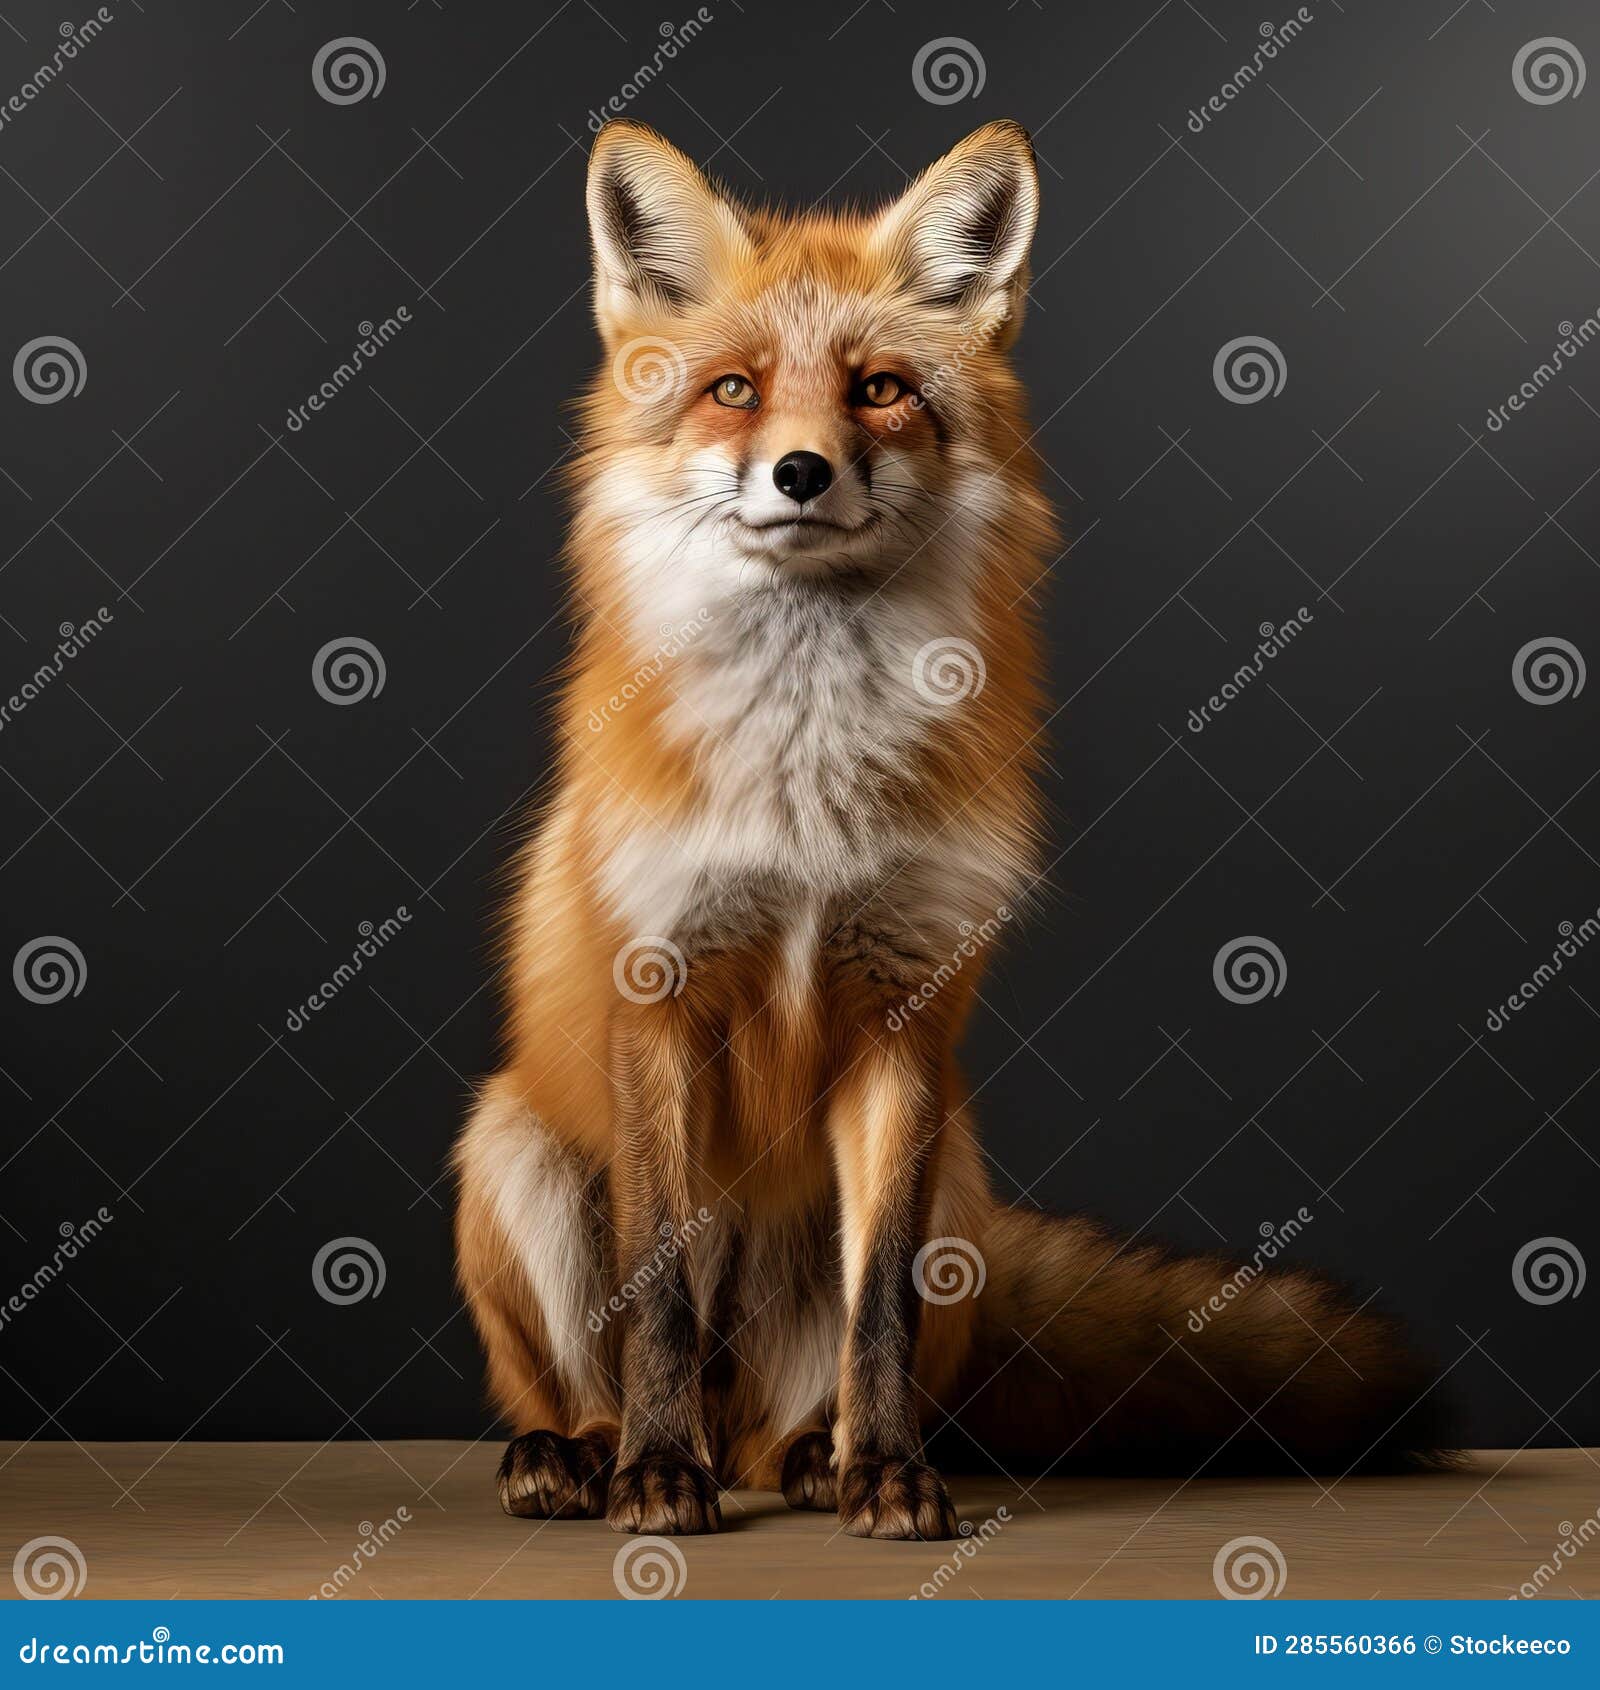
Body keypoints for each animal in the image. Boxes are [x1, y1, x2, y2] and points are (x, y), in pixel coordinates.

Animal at [452, 118, 1445, 1541]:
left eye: (877, 390)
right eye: (734, 390)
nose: (799, 471)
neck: (809, 787)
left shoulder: (904, 1010)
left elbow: (880, 1305)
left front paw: (885, 1471)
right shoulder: (661, 994)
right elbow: (658, 1297)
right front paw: (656, 1472)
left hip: (958, 1184)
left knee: (794, 1405)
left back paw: (813, 1457)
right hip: (513, 1147)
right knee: (595, 1373)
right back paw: (585, 1455)